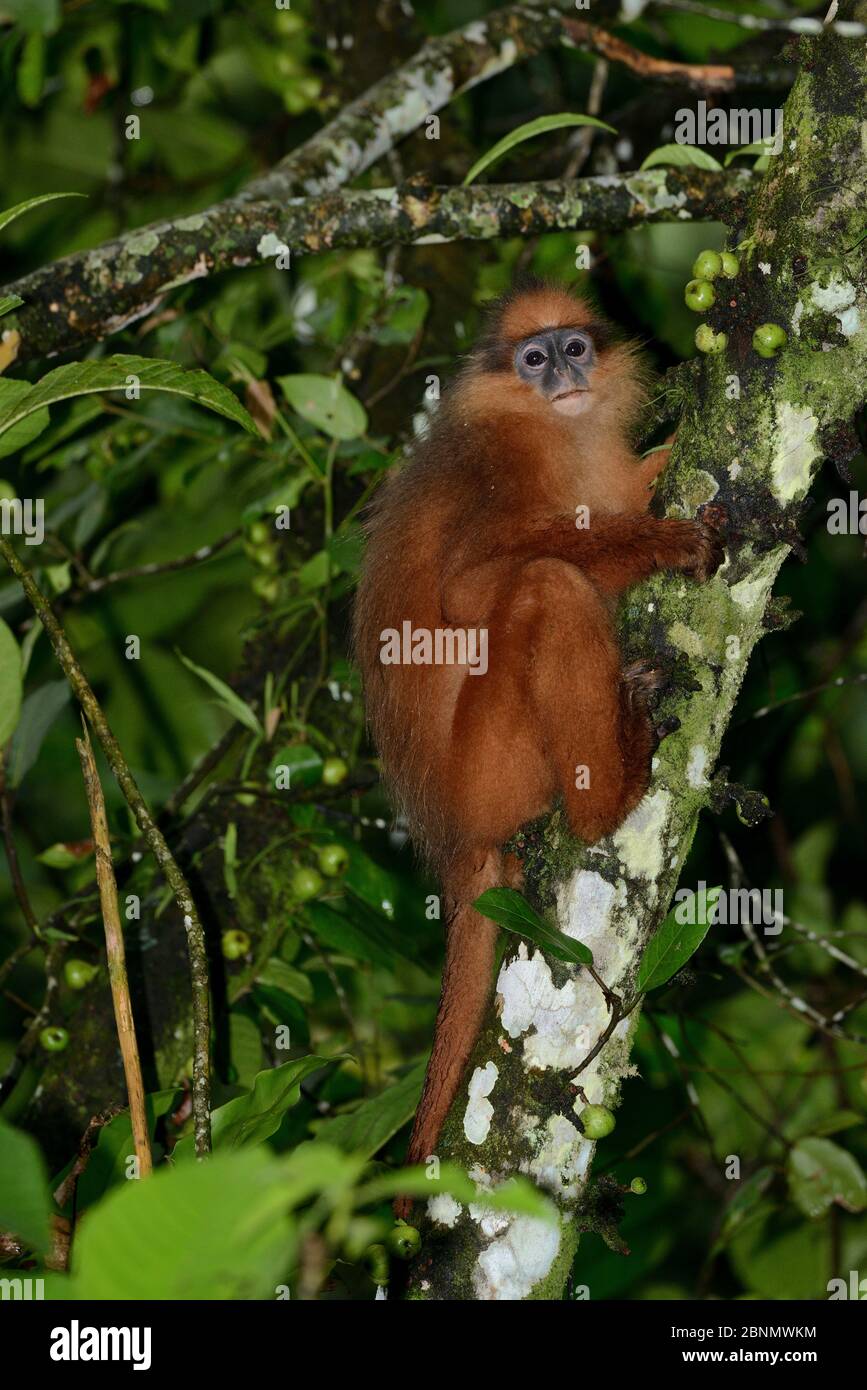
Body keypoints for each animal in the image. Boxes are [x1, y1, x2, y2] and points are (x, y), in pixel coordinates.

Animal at [352, 280, 725, 1205]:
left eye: (574, 347)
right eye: (532, 359)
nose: (562, 372)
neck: (553, 428)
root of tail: (451, 838)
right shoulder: (502, 469)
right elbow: (472, 586)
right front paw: (663, 543)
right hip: (493, 766)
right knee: (546, 585)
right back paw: (612, 788)